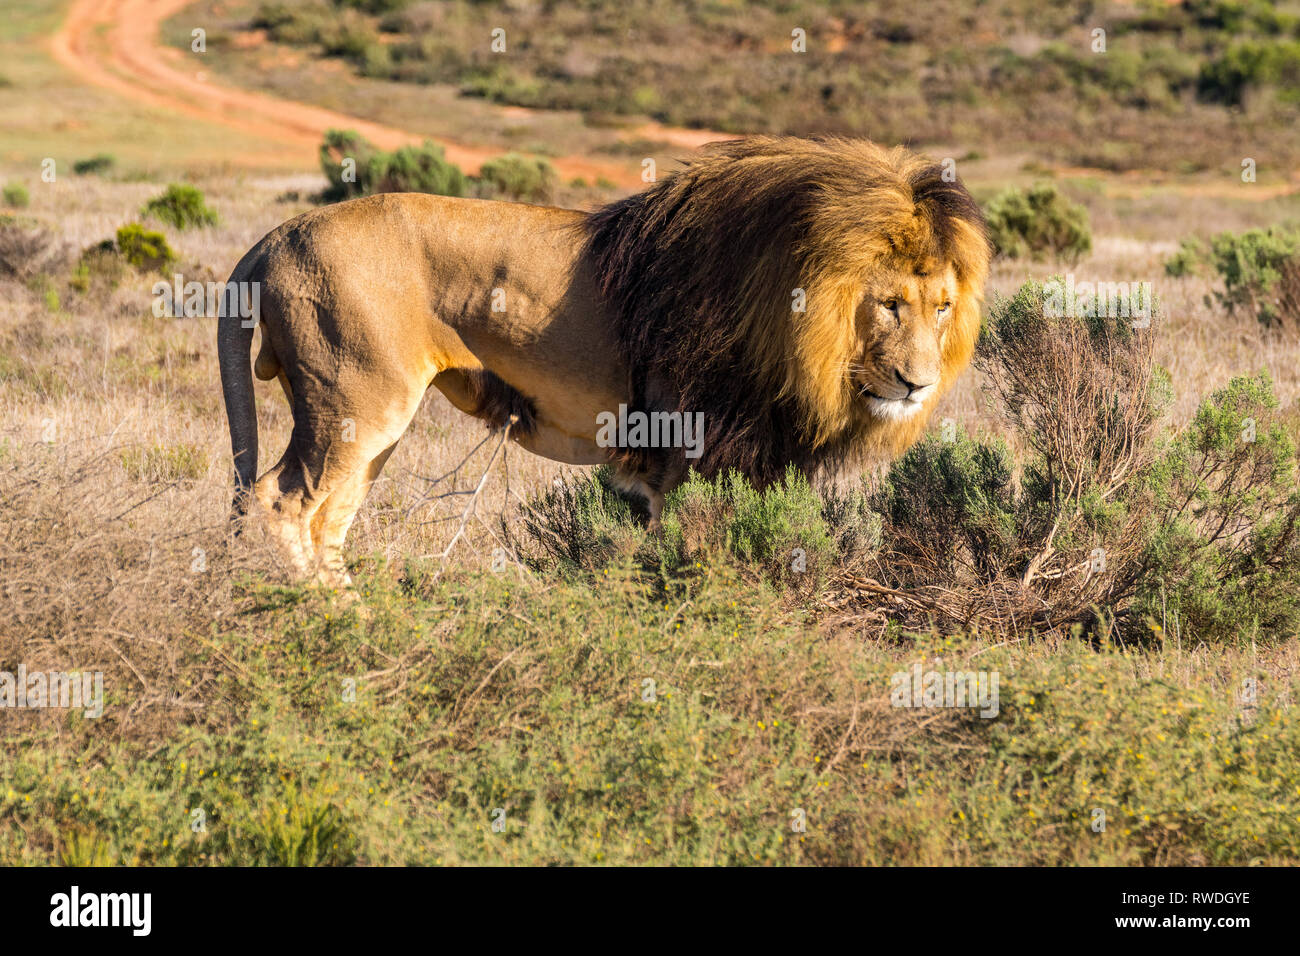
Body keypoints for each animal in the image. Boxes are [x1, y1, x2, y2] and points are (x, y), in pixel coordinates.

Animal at [218, 136, 990, 586]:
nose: (917, 386)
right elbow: (699, 561)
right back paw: (338, 629)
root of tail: (279, 233)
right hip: (358, 400)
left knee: (326, 519)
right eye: (888, 304)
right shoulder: (693, 454)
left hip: (362, 420)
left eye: (942, 308)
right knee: (282, 501)